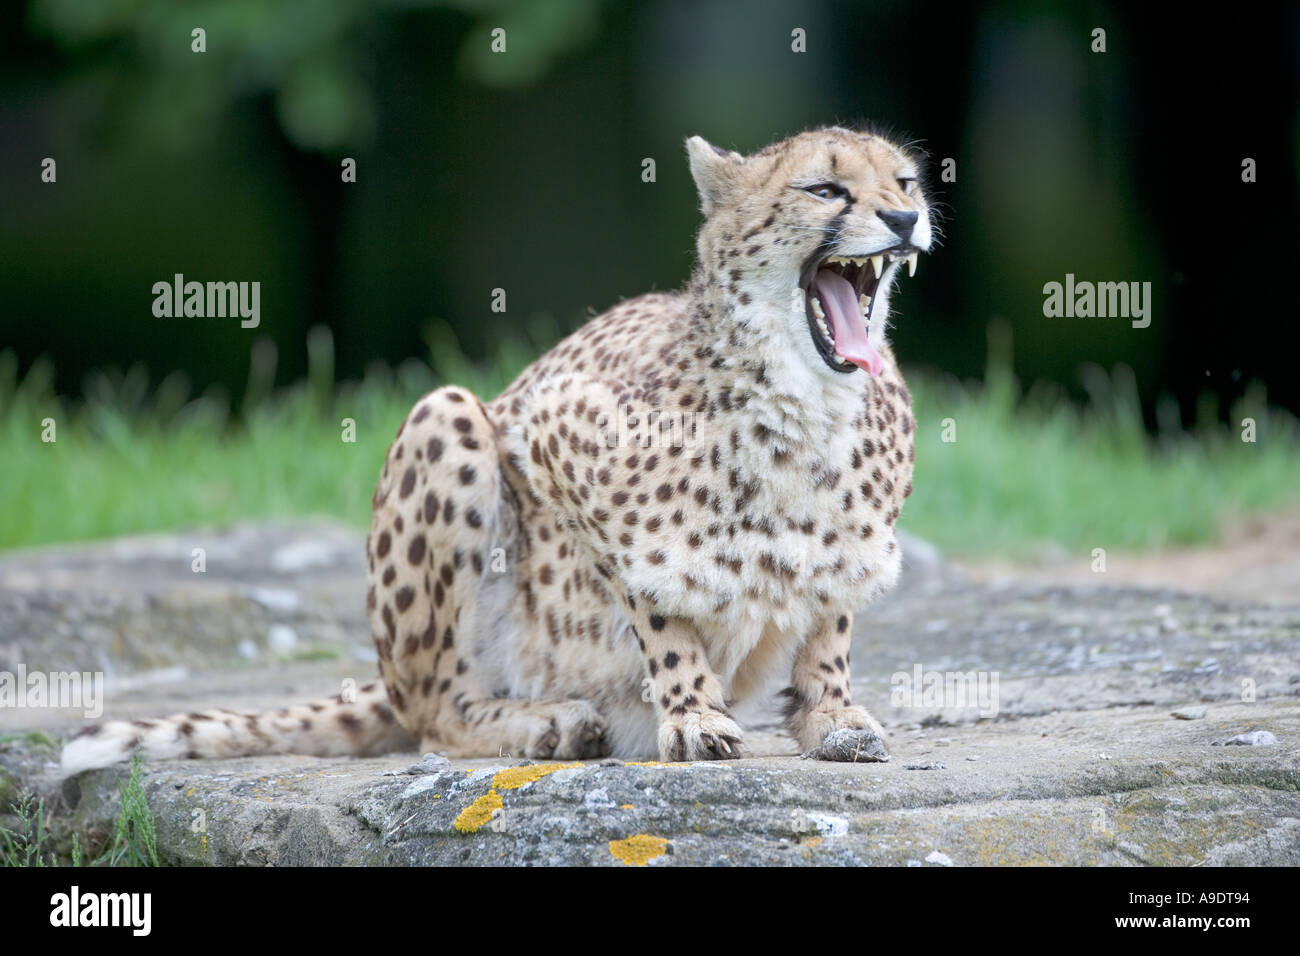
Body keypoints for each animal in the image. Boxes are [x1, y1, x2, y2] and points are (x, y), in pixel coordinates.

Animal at [61, 125, 931, 773]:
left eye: (905, 182)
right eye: (825, 190)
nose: (904, 221)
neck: (806, 402)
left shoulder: (855, 534)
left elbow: (830, 614)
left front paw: (830, 712)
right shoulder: (554, 438)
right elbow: (653, 598)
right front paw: (691, 713)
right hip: (445, 417)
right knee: (434, 713)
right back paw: (543, 723)